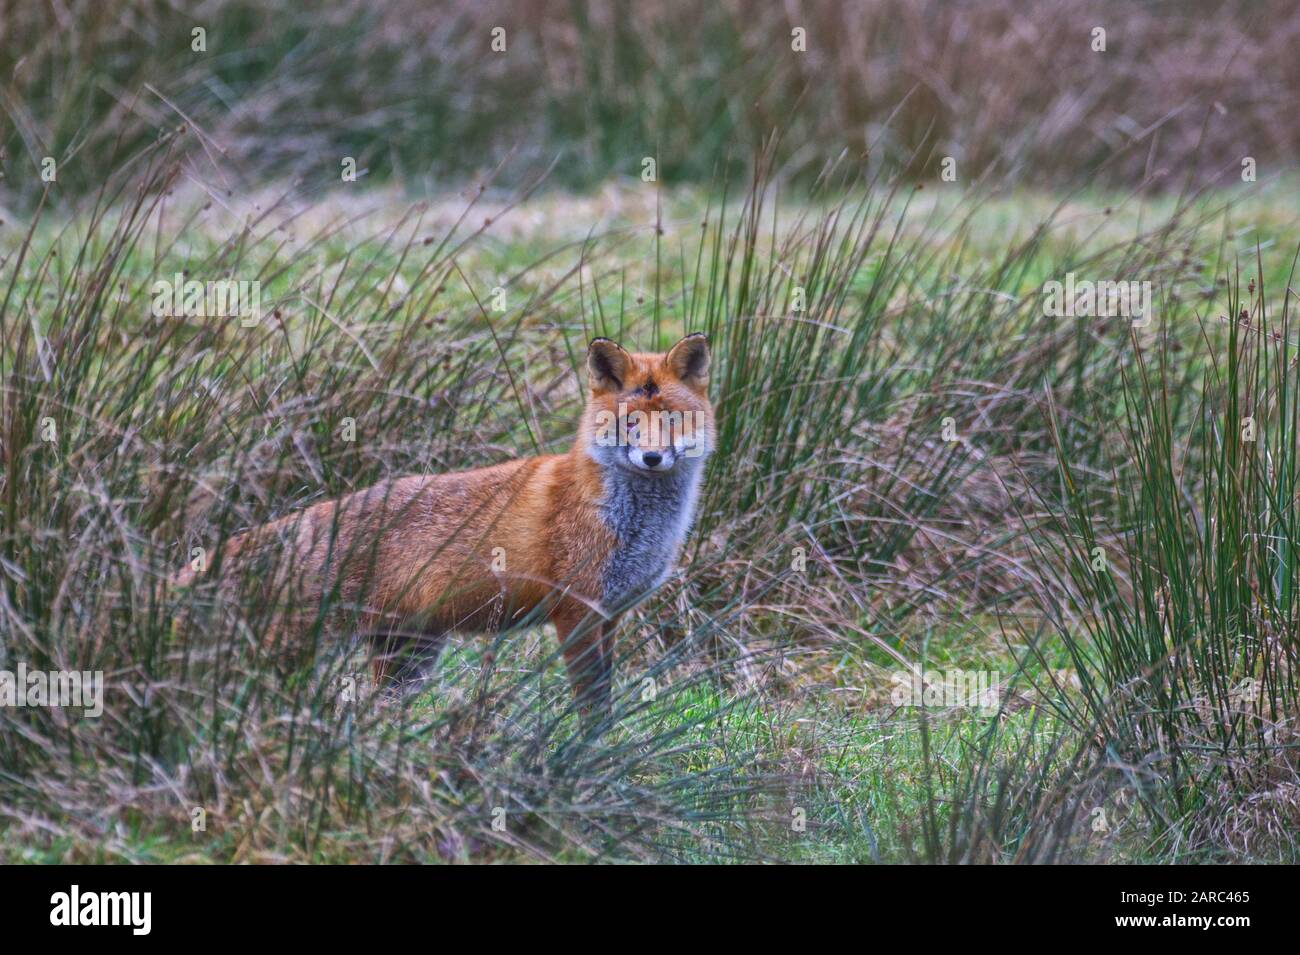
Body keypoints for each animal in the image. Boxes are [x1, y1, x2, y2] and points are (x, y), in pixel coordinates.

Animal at [176, 333, 714, 719]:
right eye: (629, 423)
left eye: (673, 420)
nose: (652, 458)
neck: (633, 522)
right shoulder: (576, 611)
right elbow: (591, 708)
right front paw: (589, 756)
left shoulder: (610, 613)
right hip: (302, 647)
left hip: (409, 657)